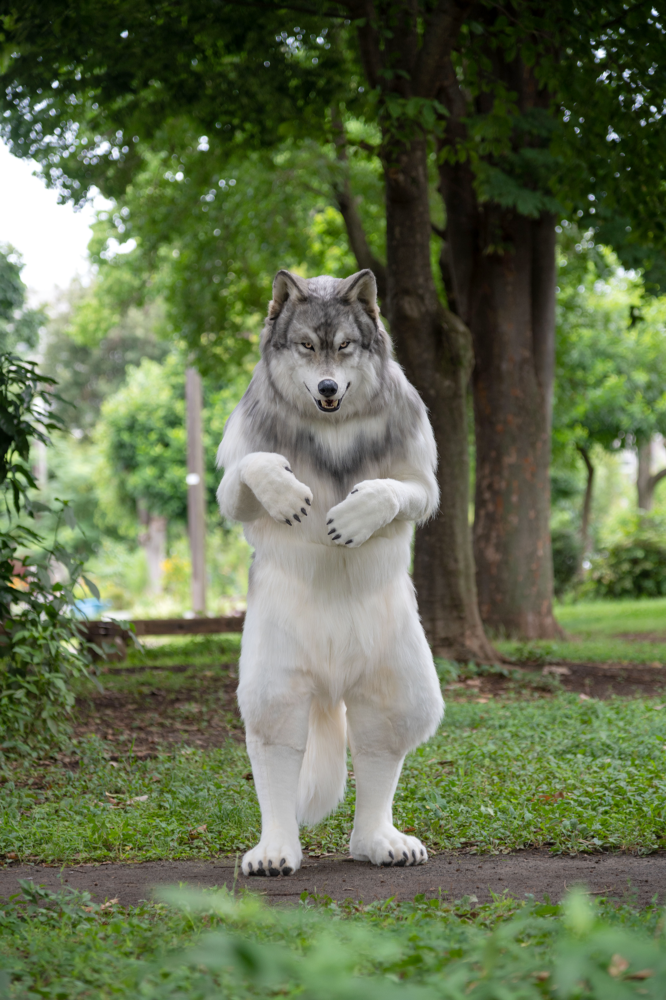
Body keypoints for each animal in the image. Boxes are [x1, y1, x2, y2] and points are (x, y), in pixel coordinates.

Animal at [216, 268, 444, 876]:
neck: (333, 426)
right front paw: (282, 489)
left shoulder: (417, 473)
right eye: (305, 346)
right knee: (276, 742)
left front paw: (360, 512)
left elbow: (401, 490)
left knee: (380, 740)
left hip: (395, 667)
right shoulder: (238, 470)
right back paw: (276, 850)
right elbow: (248, 472)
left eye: (344, 347)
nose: (325, 388)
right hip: (277, 671)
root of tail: (333, 678)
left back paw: (378, 841)